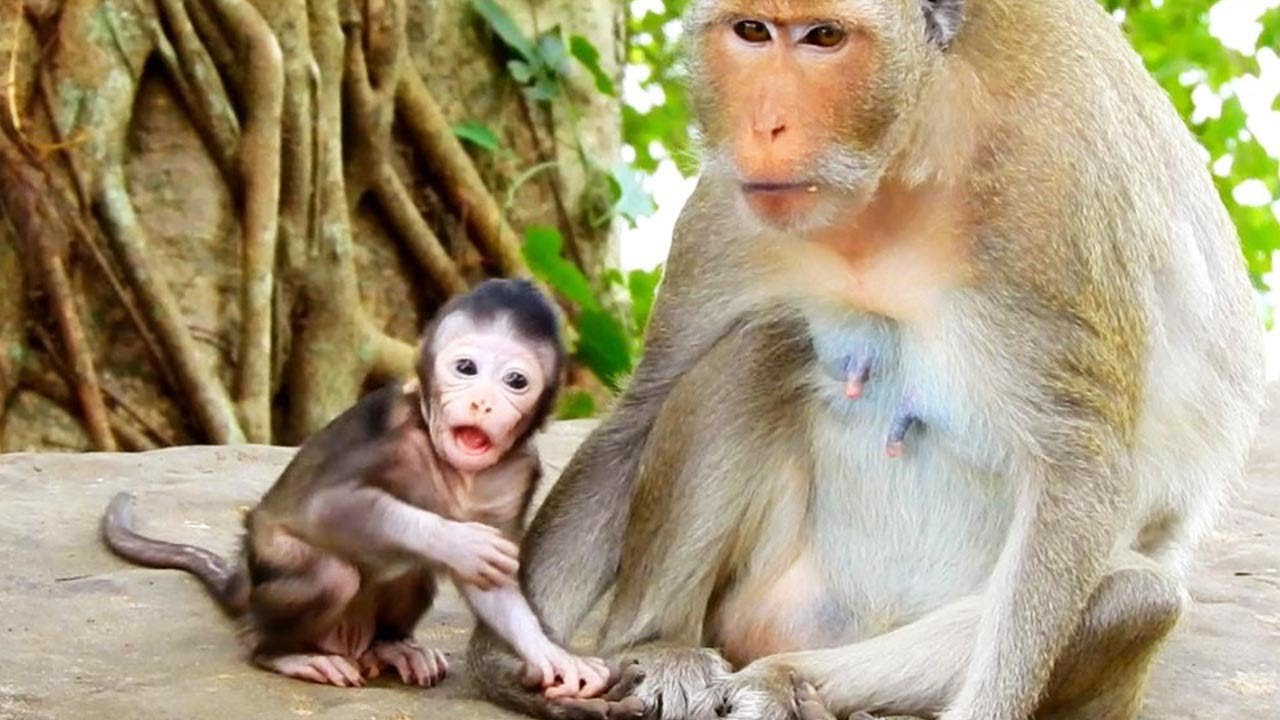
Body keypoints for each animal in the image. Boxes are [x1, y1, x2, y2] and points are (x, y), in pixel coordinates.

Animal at [103, 279, 611, 697]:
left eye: (515, 381)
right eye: (466, 368)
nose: (482, 402)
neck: (455, 469)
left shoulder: (517, 472)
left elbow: (492, 583)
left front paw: (549, 652)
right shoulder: (391, 439)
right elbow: (326, 507)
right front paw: (460, 542)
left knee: (411, 571)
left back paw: (392, 646)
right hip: (277, 574)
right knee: (331, 574)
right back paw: (284, 653)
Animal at [466, 2, 1266, 720]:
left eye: (825, 37)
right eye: (752, 31)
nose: (765, 124)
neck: (905, 161)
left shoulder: (1051, 204)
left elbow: (1081, 469)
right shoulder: (729, 211)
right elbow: (642, 409)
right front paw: (510, 663)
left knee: (1133, 598)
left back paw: (792, 682)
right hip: (762, 597)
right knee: (761, 343)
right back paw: (660, 649)